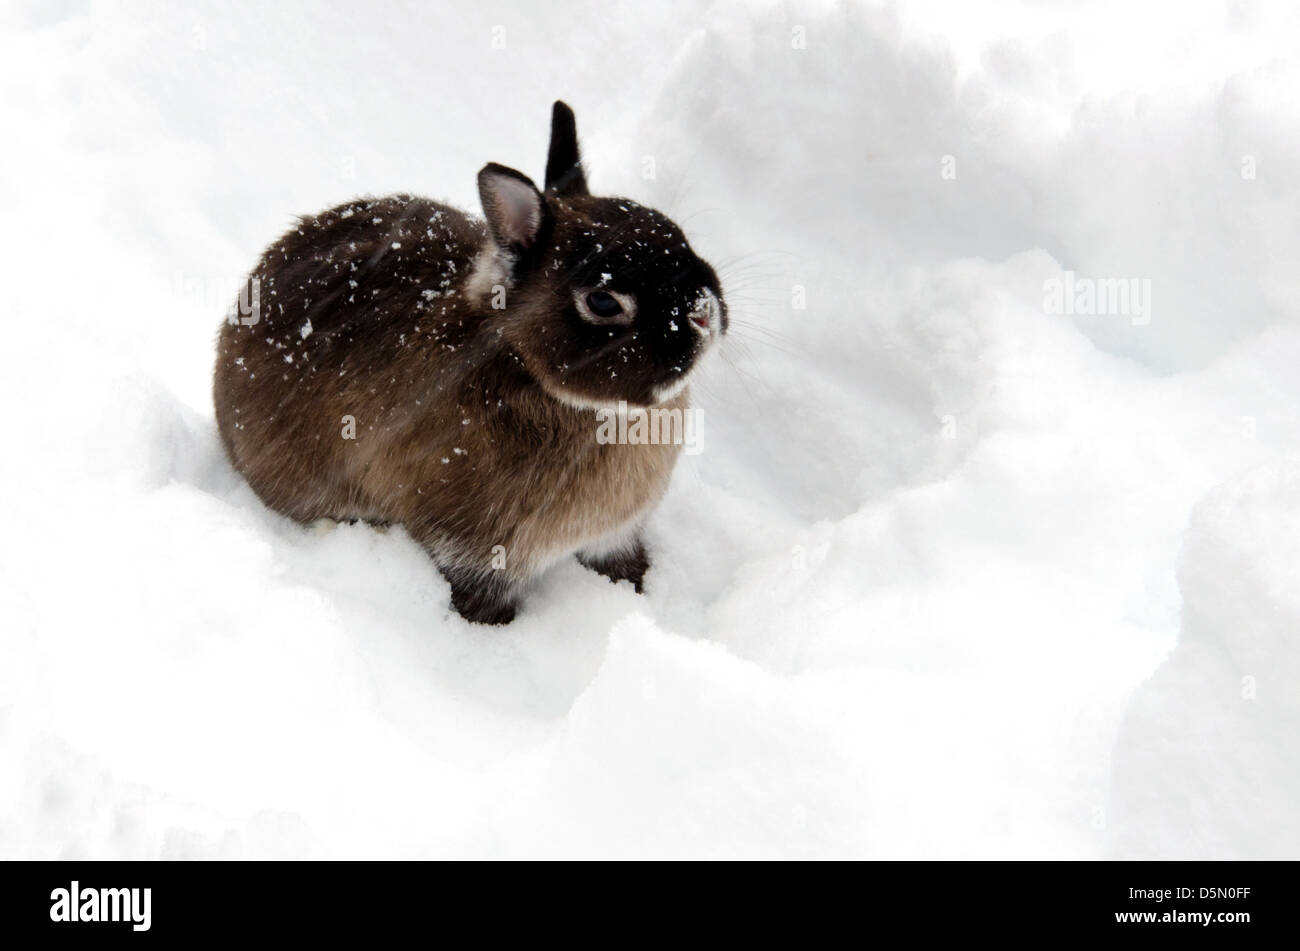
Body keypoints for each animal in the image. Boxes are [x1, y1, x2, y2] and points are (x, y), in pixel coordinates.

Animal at [214, 101, 726, 624]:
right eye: (602, 302)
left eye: (677, 232)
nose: (704, 312)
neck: (524, 364)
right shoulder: (472, 551)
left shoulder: (615, 536)